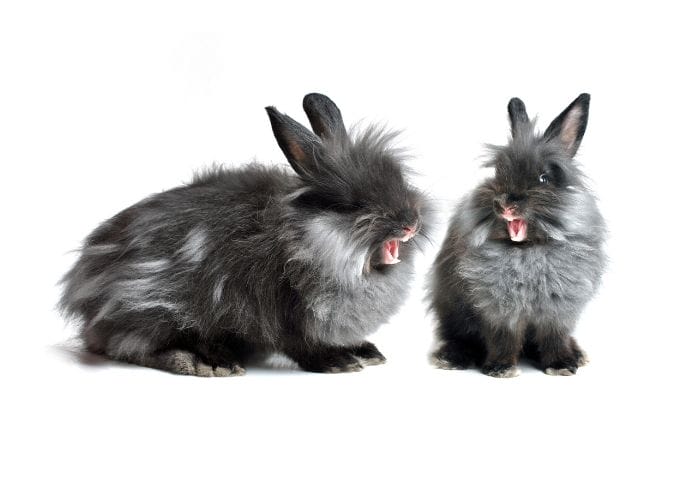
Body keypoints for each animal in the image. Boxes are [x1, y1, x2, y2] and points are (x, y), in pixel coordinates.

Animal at [59, 93, 431, 376]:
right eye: (352, 203)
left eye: (399, 180)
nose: (411, 223)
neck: (304, 239)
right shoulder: (282, 310)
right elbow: (302, 344)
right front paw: (338, 362)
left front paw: (366, 351)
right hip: (146, 306)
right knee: (130, 346)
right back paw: (207, 362)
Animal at [429, 93, 607, 378]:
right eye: (498, 173)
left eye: (544, 178)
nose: (503, 203)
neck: (527, 251)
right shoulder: (498, 310)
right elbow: (503, 338)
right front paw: (500, 368)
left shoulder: (558, 310)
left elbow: (555, 337)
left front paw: (562, 365)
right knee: (459, 338)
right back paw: (451, 358)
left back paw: (577, 355)